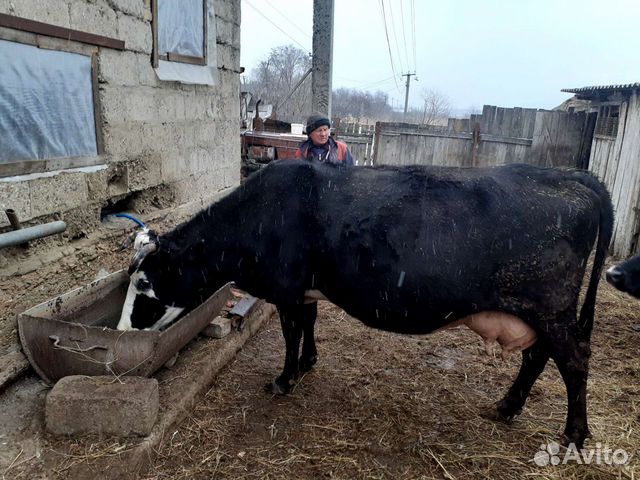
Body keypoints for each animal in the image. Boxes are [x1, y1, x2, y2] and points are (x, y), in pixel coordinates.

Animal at [117, 160, 613, 448]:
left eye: (143, 283)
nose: (122, 333)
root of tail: (573, 175)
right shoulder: (306, 289)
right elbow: (309, 323)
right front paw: (308, 364)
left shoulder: (285, 288)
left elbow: (291, 331)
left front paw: (284, 379)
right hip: (541, 313)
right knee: (538, 356)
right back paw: (507, 407)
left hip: (551, 308)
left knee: (574, 360)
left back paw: (574, 435)